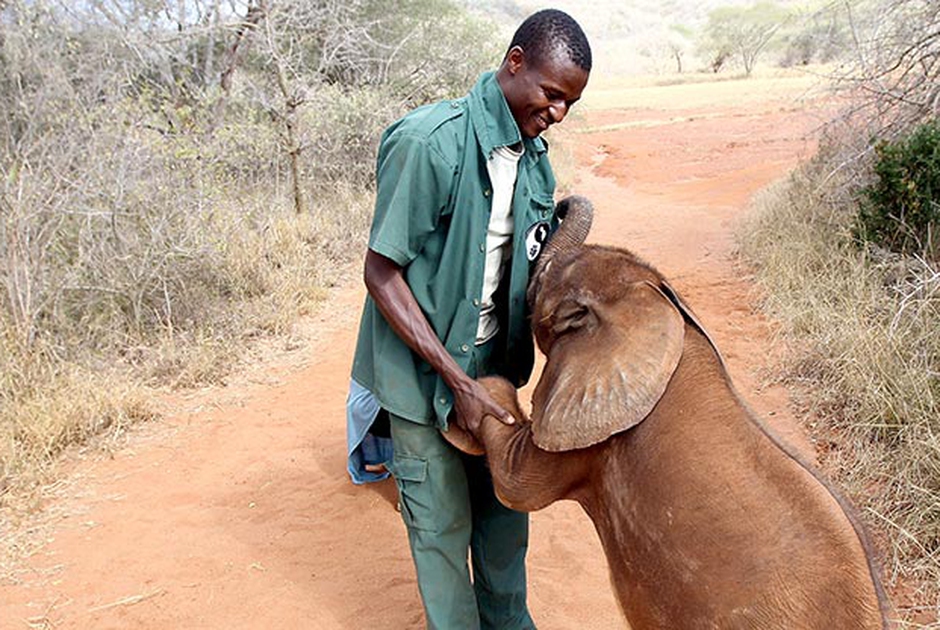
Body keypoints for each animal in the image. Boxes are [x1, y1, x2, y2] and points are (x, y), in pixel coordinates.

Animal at [442, 196, 890, 629]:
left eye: (565, 310)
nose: (556, 207)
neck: (660, 307)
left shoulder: (595, 438)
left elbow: (517, 485)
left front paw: (476, 399)